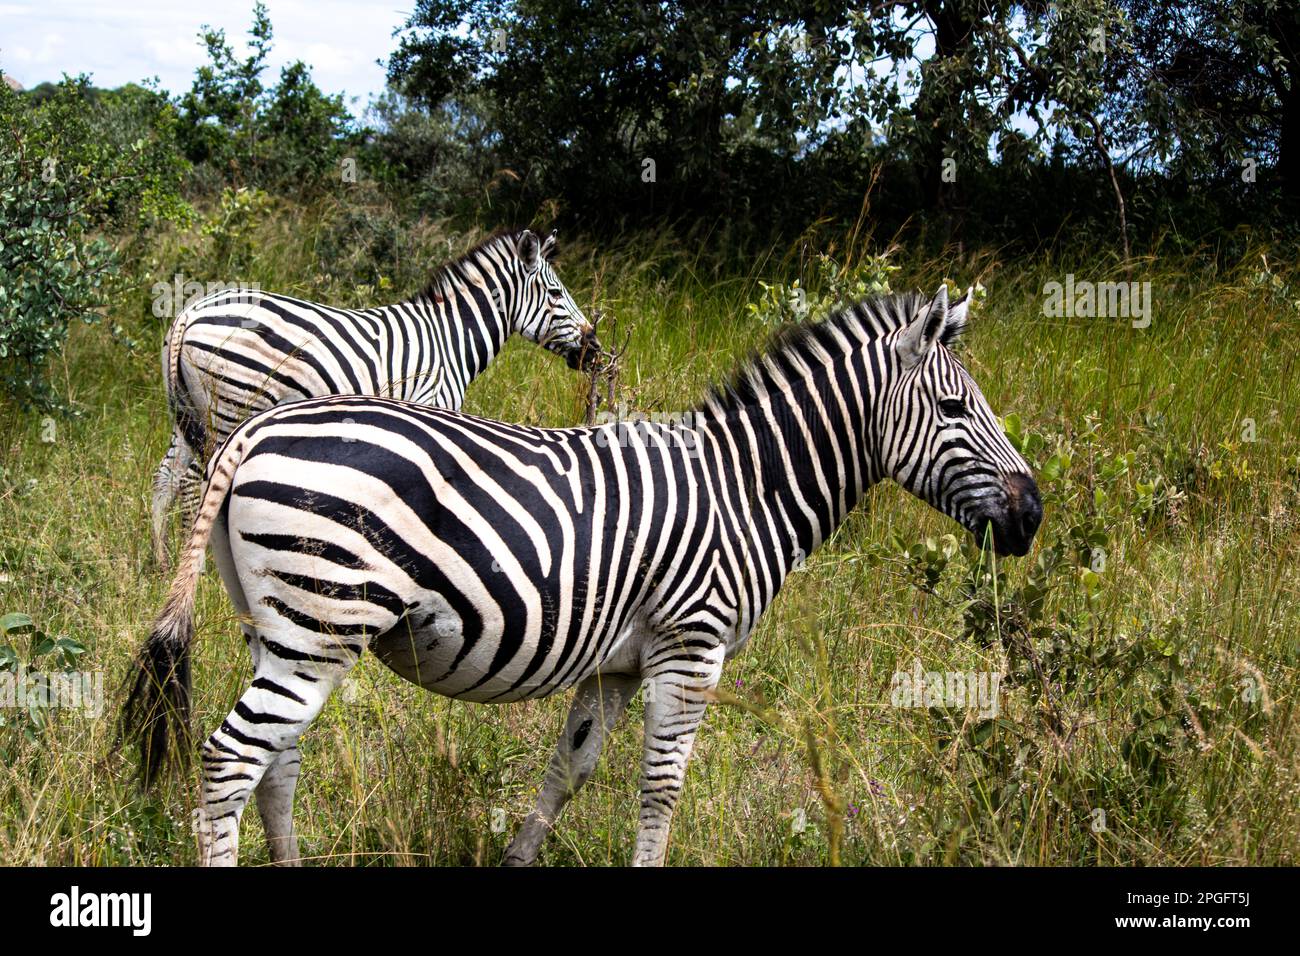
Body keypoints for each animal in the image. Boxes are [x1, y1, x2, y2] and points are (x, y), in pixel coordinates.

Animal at [121, 285, 1042, 866]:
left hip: (282, 629)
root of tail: (258, 431)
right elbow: (661, 789)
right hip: (319, 623)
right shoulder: (691, 646)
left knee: (274, 762)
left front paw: (516, 861)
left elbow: (570, 772)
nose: (1033, 516)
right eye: (955, 410)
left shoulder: (615, 666)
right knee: (228, 762)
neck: (746, 487)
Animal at [149, 228, 599, 565]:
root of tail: (189, 312)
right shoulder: (430, 407)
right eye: (556, 295)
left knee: (165, 478)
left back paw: (162, 560)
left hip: (187, 412)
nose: (594, 349)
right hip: (228, 407)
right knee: (193, 483)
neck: (449, 340)